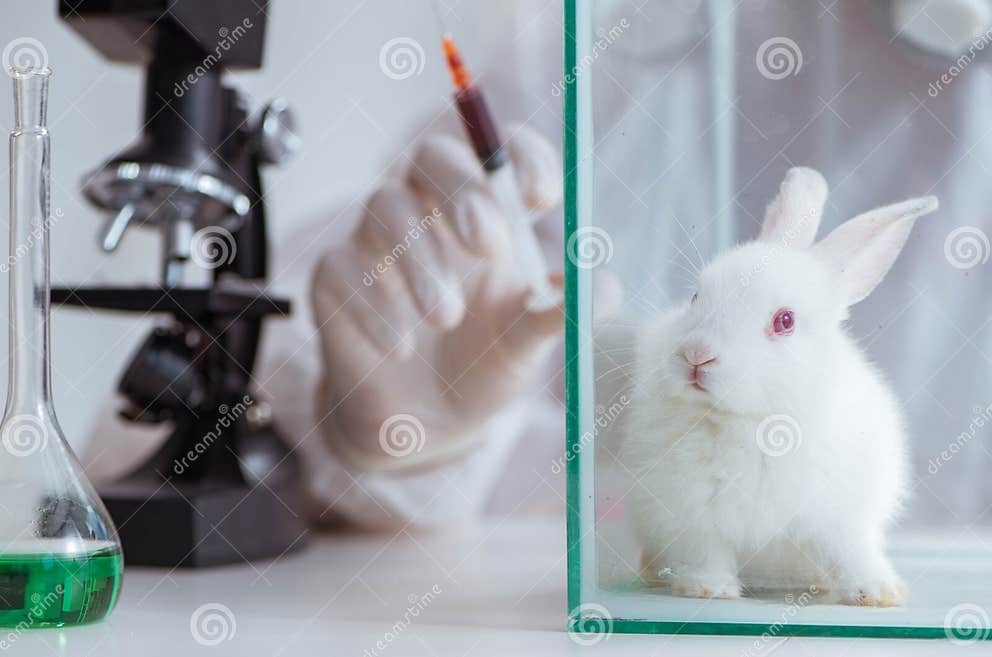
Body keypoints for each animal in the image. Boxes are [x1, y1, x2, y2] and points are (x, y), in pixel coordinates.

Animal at [621, 167, 938, 607]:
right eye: (696, 297)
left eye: (785, 321)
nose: (697, 355)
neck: (754, 421)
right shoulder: (690, 514)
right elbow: (706, 553)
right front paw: (710, 590)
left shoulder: (842, 515)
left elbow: (852, 551)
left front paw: (880, 593)